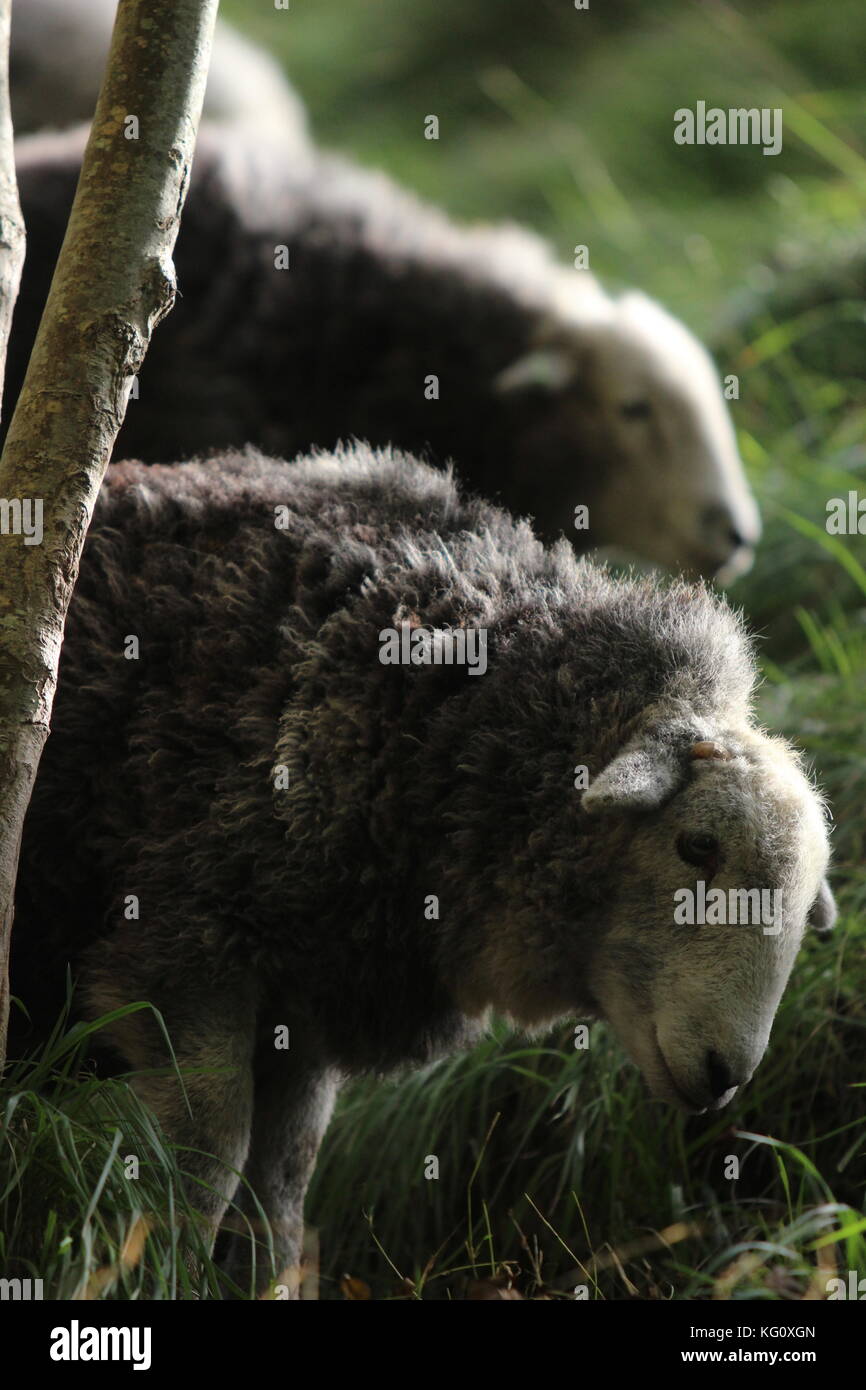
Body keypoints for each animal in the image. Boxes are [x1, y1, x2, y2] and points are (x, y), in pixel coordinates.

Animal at [10, 443, 834, 1293]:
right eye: (696, 846)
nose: (727, 1074)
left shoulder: (304, 1004)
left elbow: (281, 1194)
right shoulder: (187, 952)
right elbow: (206, 1168)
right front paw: (163, 1274)